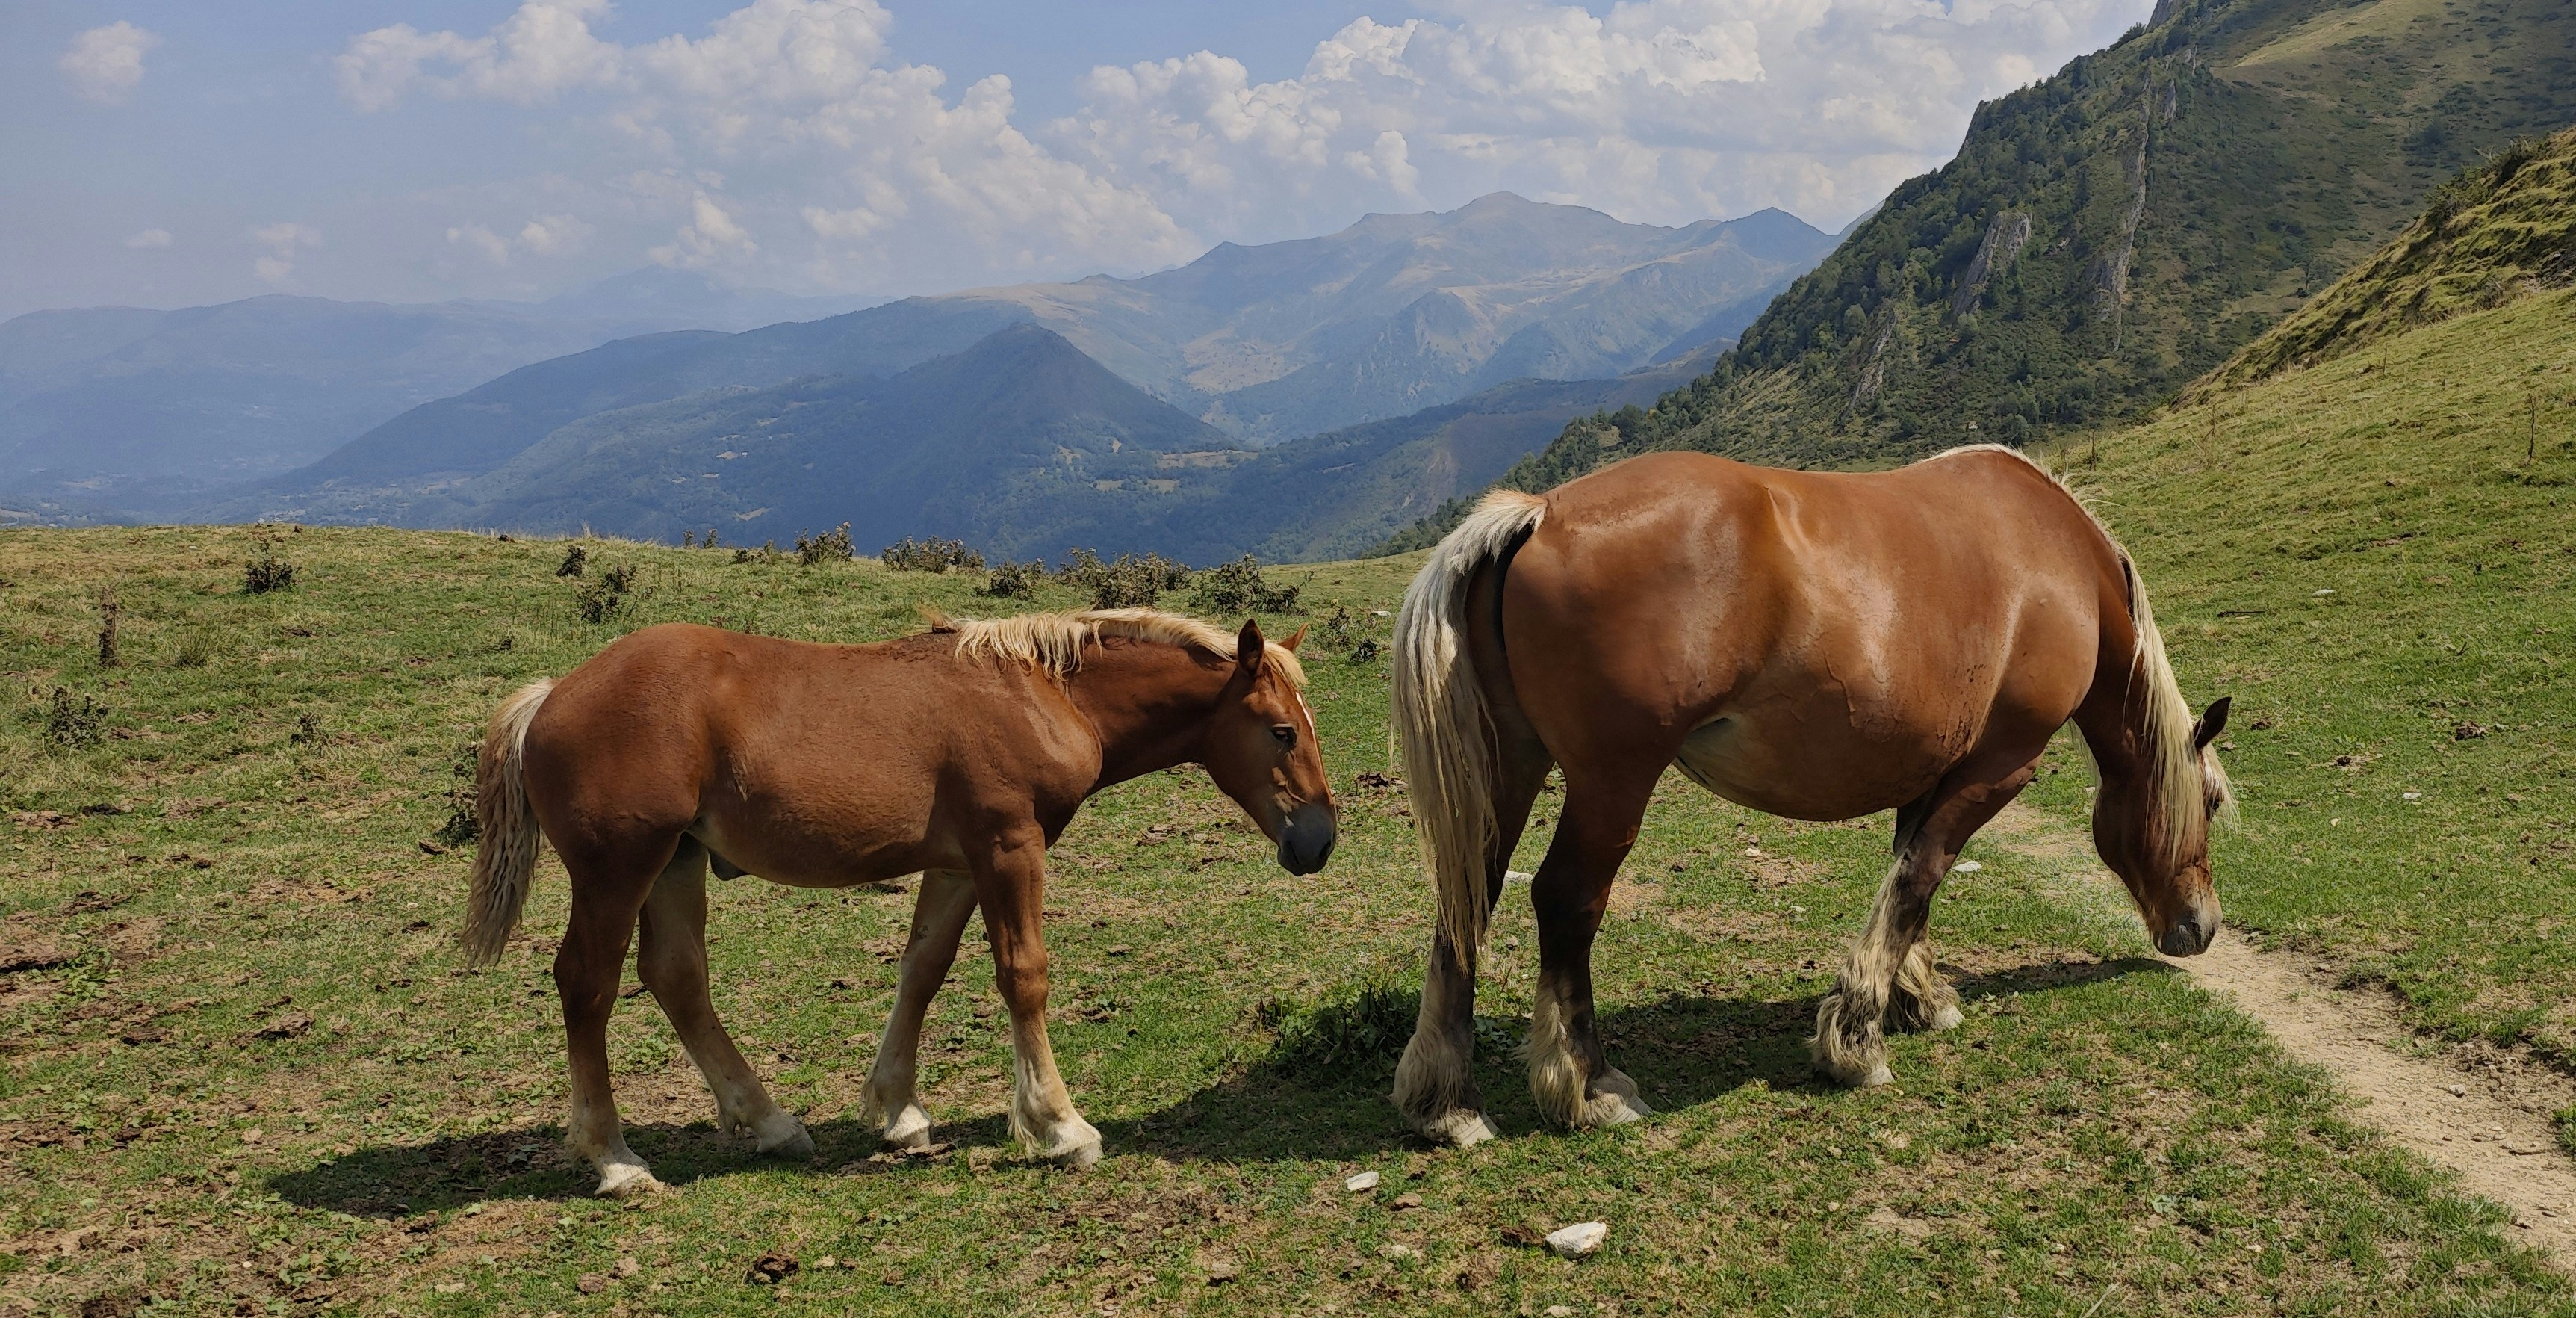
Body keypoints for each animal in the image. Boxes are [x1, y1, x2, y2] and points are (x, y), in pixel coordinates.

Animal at [460, 609, 1336, 1195]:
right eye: (1280, 731)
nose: (1318, 840)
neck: (1043, 694)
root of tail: (552, 694)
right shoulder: (1007, 846)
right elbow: (1023, 975)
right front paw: (1059, 1126)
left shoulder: (956, 865)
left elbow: (923, 969)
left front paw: (898, 1111)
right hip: (618, 868)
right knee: (587, 983)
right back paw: (614, 1159)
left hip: (675, 863)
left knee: (676, 979)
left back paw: (770, 1122)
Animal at [1387, 446, 2233, 1146]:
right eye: (2213, 803)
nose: (2200, 927)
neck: (2057, 564)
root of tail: (1539, 513)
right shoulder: (1998, 768)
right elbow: (1918, 879)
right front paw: (1856, 1042)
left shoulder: (1929, 770)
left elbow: (1908, 882)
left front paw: (1914, 998)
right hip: (1612, 783)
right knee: (1565, 900)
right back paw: (1589, 1084)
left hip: (1507, 769)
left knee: (1467, 897)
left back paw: (1447, 1103)